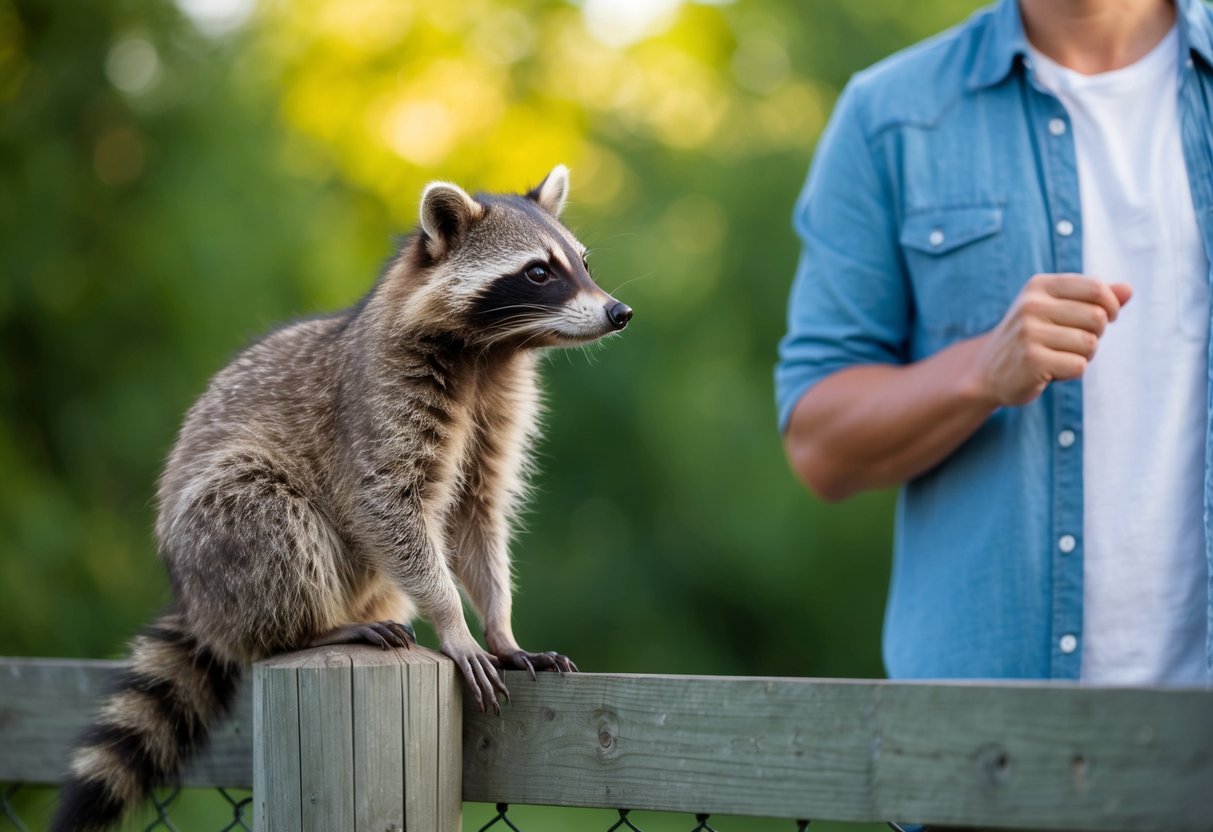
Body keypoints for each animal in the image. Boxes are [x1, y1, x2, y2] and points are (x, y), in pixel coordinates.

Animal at [51, 164, 632, 832]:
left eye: (583, 263)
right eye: (539, 271)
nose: (620, 312)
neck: (491, 352)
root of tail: (196, 601)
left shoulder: (498, 409)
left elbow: (476, 518)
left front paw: (500, 626)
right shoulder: (380, 399)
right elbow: (385, 506)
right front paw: (453, 620)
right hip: (220, 536)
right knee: (268, 519)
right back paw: (309, 629)